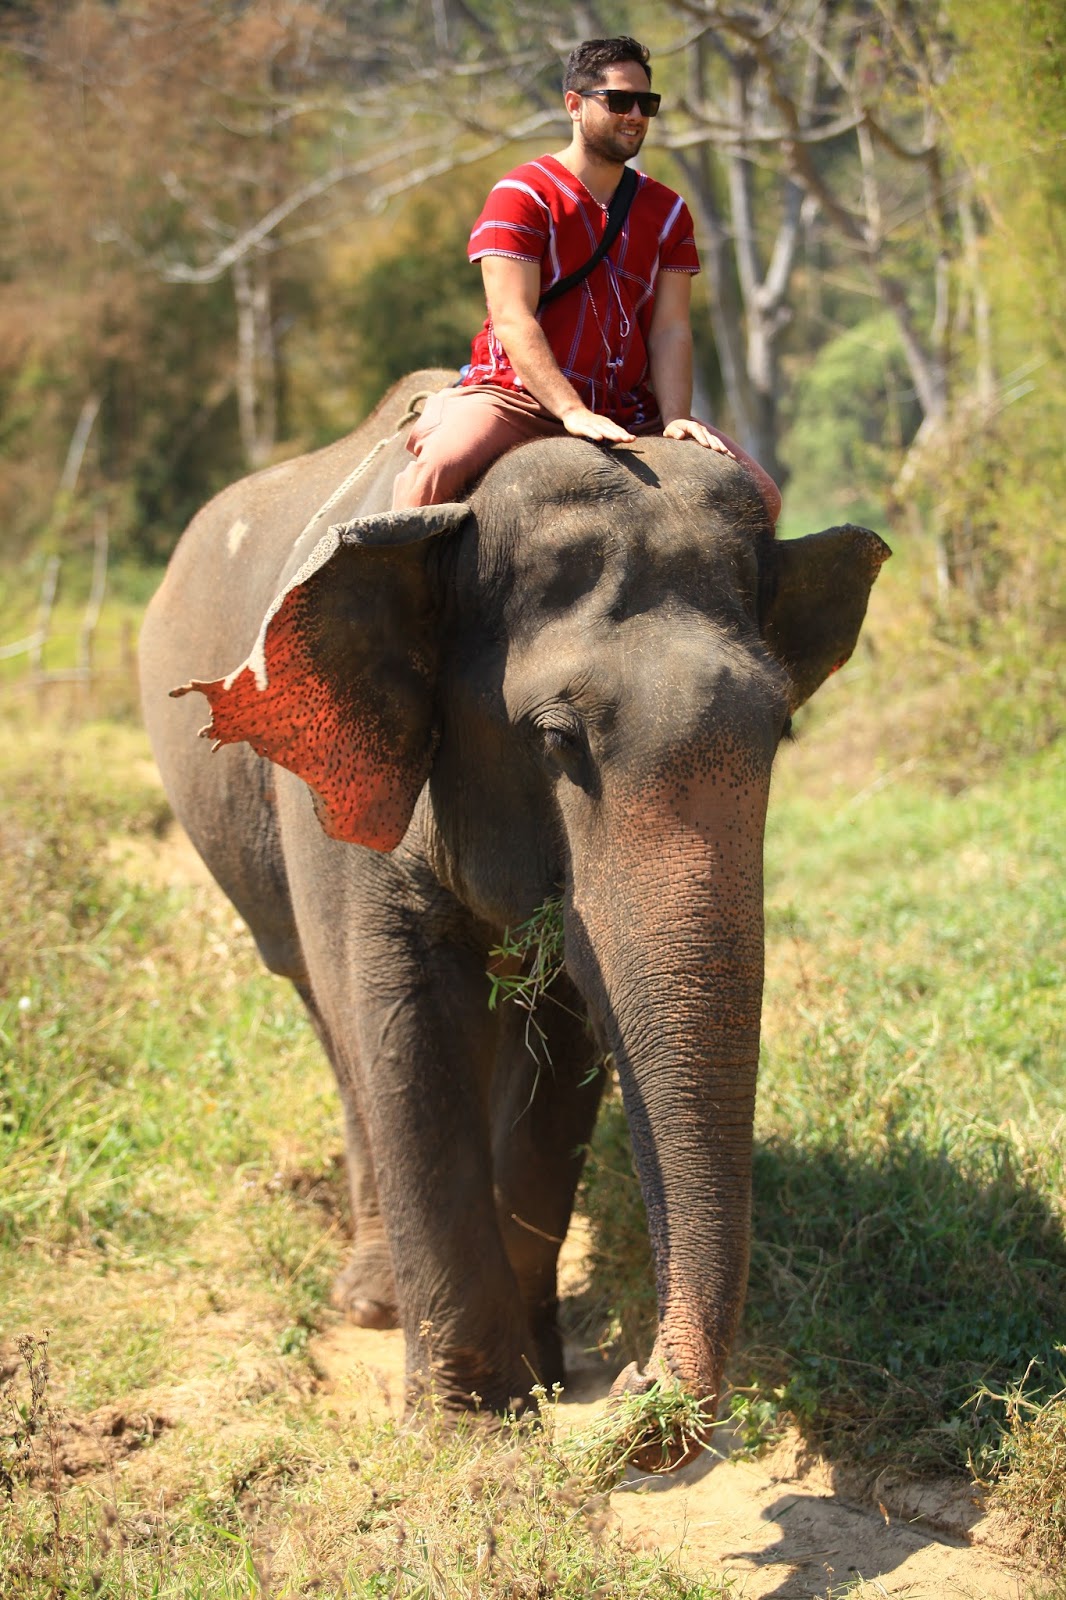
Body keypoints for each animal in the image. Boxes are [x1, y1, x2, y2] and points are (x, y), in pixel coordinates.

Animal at [138, 369, 889, 1460]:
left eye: (781, 728)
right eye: (555, 738)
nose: (638, 1388)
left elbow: (565, 1044)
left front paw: (544, 1379)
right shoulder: (348, 783)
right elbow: (403, 1027)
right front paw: (470, 1423)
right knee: (331, 1019)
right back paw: (372, 1304)